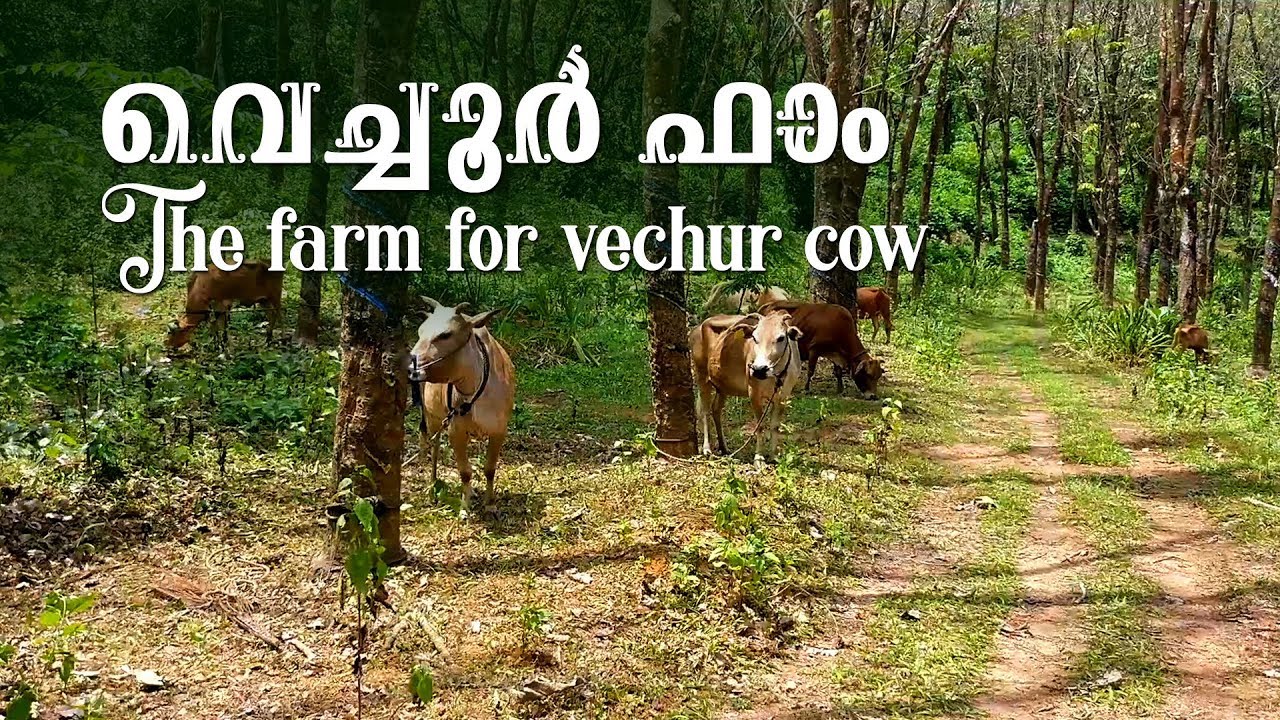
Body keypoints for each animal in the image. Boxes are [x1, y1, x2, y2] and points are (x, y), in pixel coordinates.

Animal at [410, 298, 516, 515]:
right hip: (432, 418)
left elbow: (490, 469)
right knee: (433, 449)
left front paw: (490, 503)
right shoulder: (455, 430)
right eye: (420, 331)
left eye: (445, 335)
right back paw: (432, 489)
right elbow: (465, 472)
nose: (412, 363)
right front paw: (465, 507)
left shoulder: (499, 430)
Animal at [690, 311, 802, 462]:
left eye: (781, 338)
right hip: (702, 377)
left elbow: (775, 427)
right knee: (705, 411)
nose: (759, 369)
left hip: (722, 386)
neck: (776, 375)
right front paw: (759, 458)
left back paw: (724, 447)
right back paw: (707, 448)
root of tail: (697, 327)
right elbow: (760, 426)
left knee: (716, 410)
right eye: (754, 337)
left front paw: (773, 455)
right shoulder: (754, 393)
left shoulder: (783, 397)